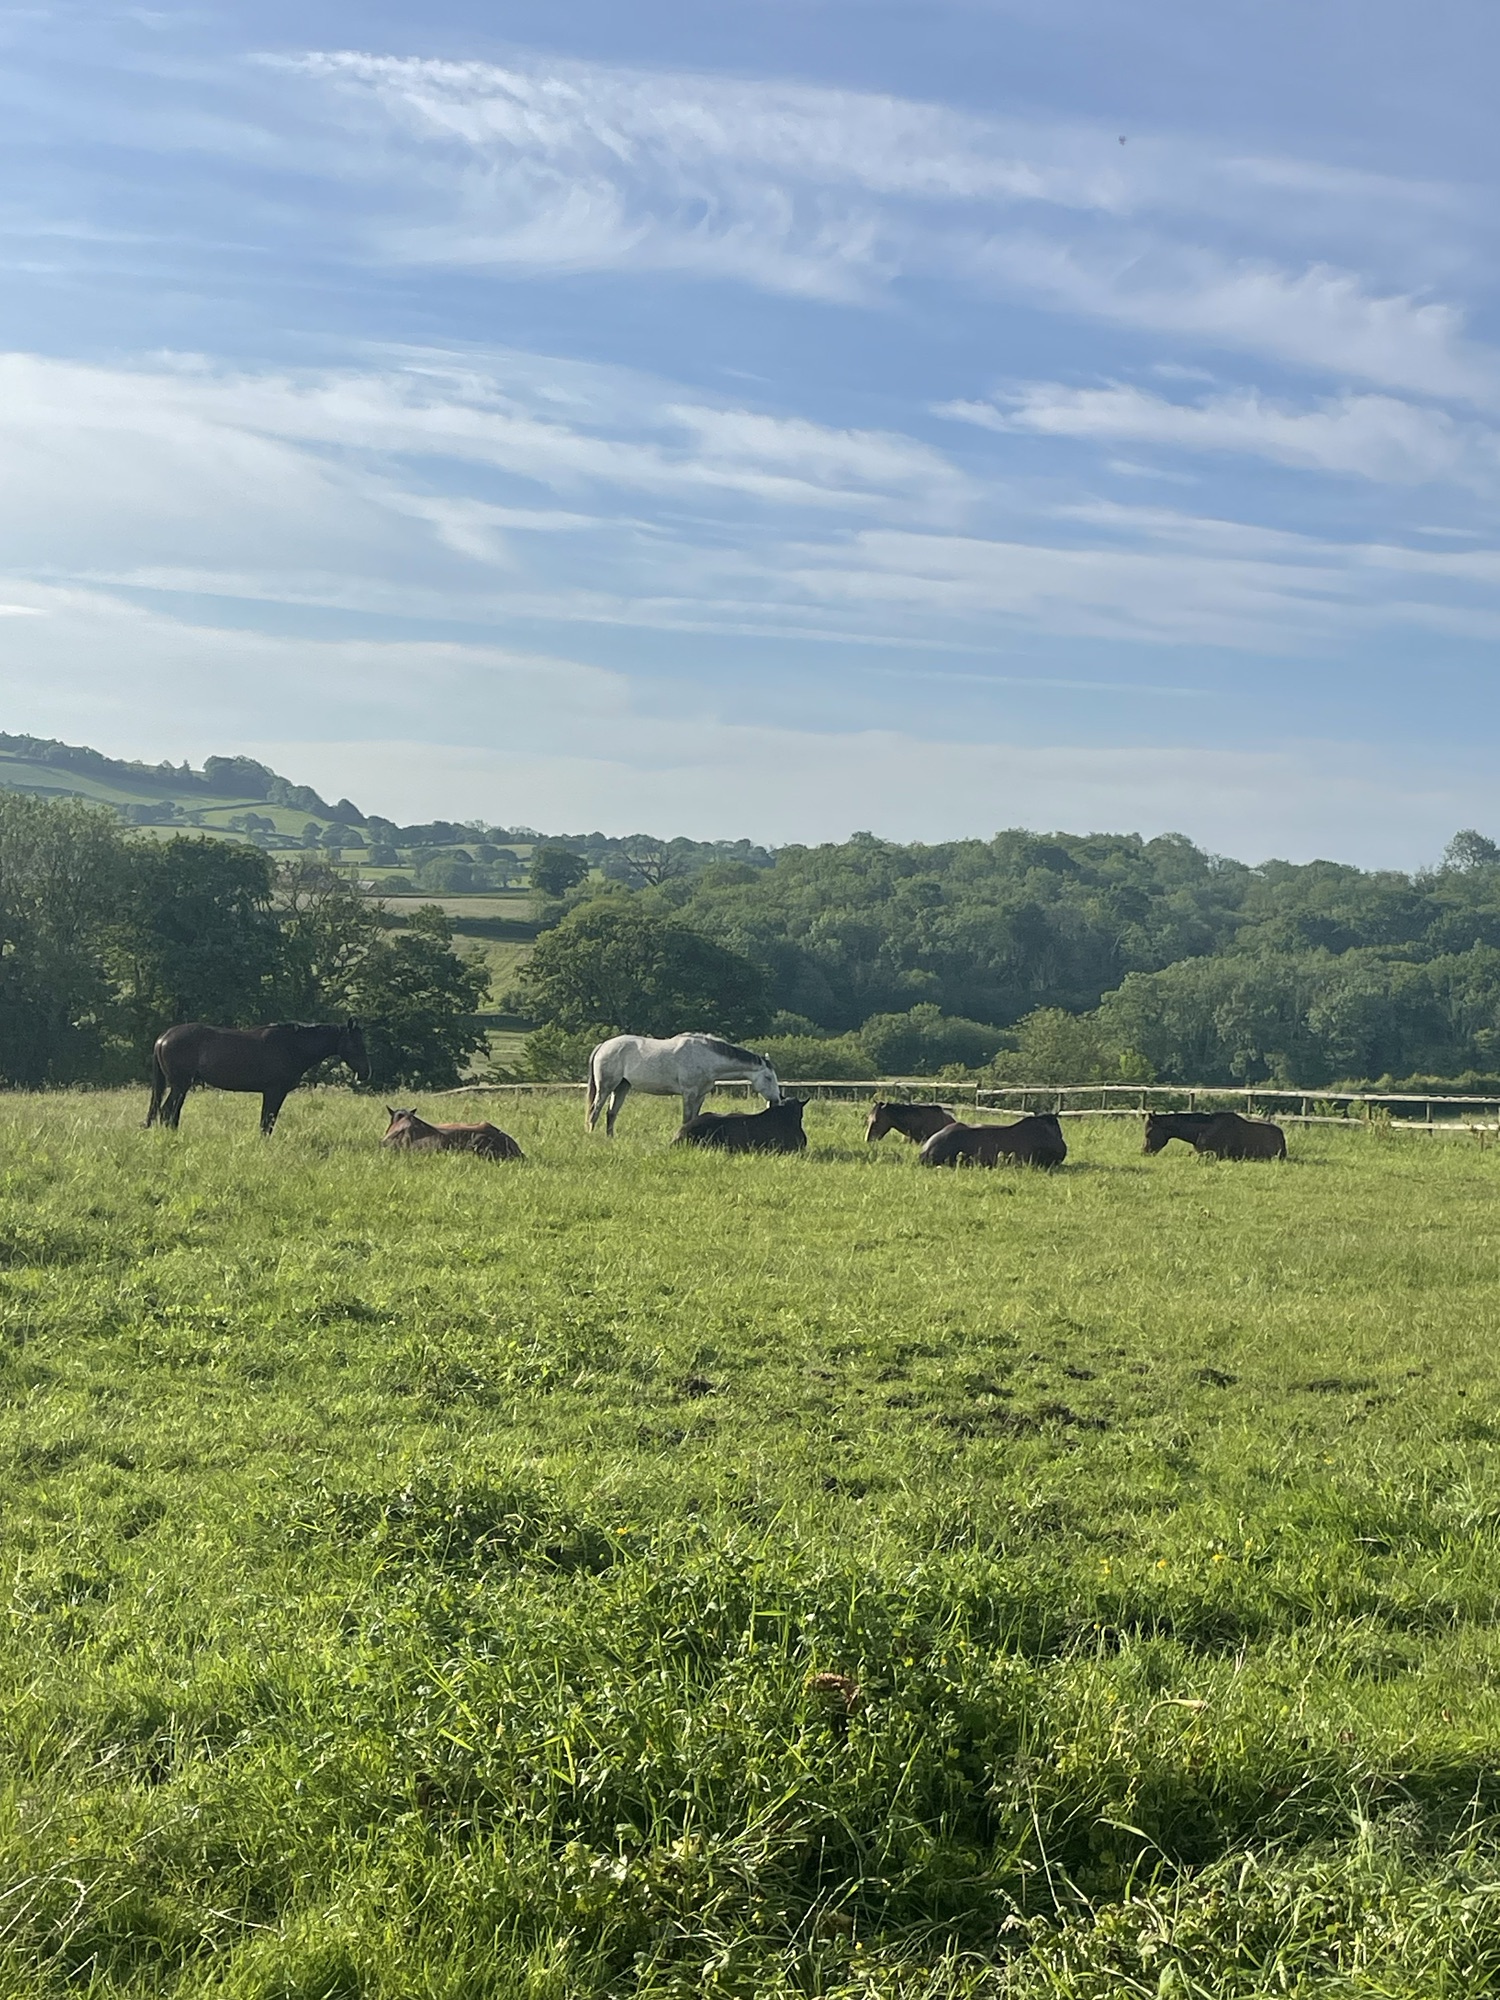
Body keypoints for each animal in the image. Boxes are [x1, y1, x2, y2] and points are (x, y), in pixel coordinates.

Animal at [146, 1020, 369, 1136]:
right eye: (356, 1044)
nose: (366, 1073)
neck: (292, 1046)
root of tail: (163, 1037)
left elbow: (267, 1121)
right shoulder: (274, 1092)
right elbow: (267, 1122)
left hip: (181, 1086)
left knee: (172, 1113)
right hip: (179, 1085)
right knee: (166, 1112)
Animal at [587, 1033, 781, 1135]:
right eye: (768, 1077)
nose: (777, 1101)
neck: (705, 1057)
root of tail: (603, 1045)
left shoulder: (700, 1095)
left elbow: (695, 1117)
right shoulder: (689, 1093)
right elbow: (686, 1118)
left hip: (622, 1087)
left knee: (611, 1113)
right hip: (606, 1087)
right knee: (594, 1112)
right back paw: (591, 1135)